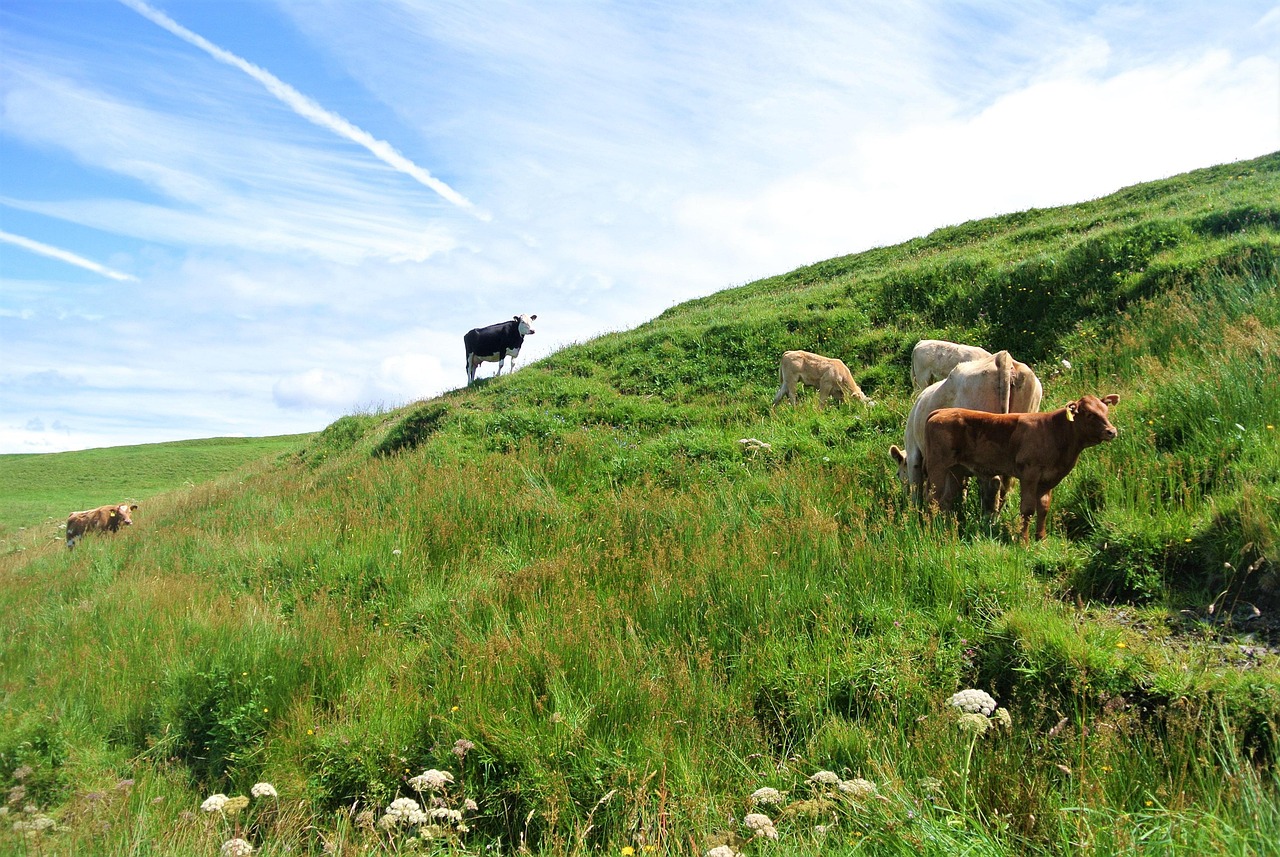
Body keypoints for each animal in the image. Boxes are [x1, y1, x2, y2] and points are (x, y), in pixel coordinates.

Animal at [889, 350, 1042, 506]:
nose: (903, 496)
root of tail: (1003, 357)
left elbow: (916, 484)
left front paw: (915, 510)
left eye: (898, 473)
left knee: (993, 483)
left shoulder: (913, 450)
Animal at [924, 394, 1120, 542]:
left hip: (956, 470)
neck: (1055, 433)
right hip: (937, 468)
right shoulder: (1030, 473)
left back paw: (945, 530)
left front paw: (1041, 539)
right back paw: (932, 532)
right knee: (933, 500)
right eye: (1089, 414)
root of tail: (941, 411)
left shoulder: (1048, 479)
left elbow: (1044, 507)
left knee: (946, 501)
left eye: (1106, 411)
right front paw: (1023, 541)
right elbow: (1028, 509)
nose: (1111, 431)